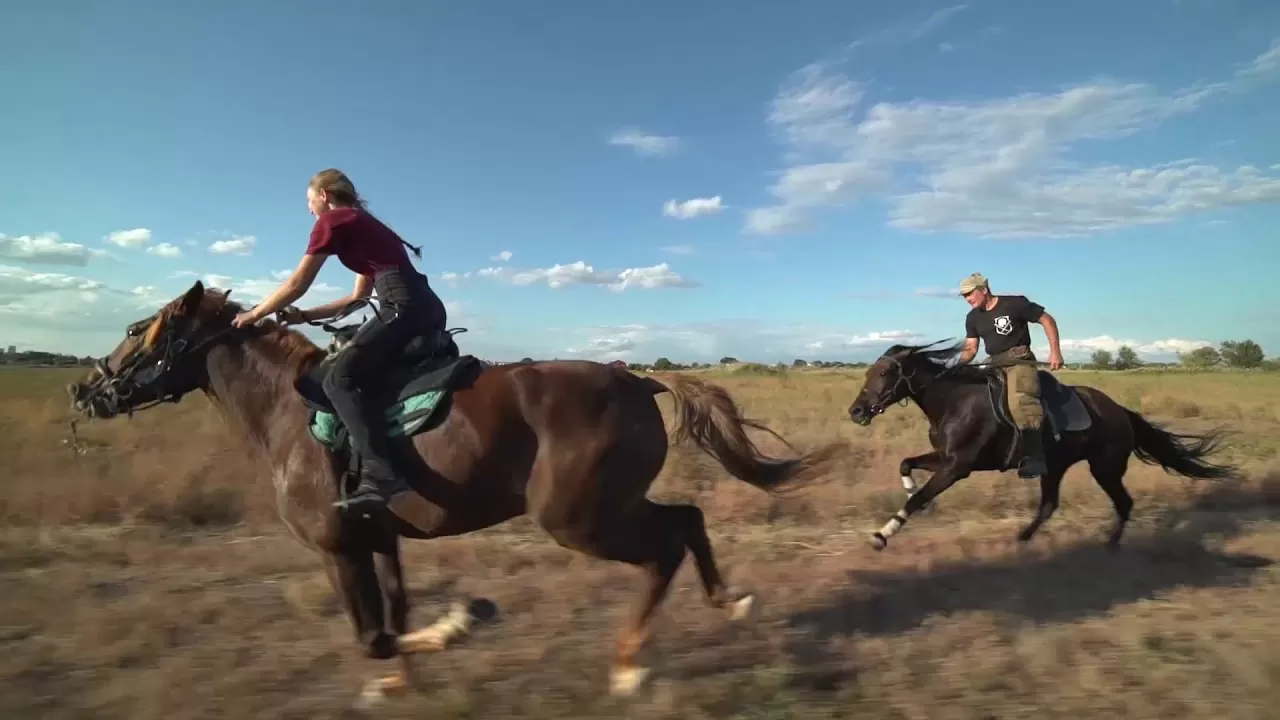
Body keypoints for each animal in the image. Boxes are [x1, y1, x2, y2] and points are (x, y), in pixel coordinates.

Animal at [67, 280, 849, 707]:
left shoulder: (337, 548)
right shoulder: (379, 539)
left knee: (665, 548)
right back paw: (726, 602)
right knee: (686, 520)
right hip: (609, 507)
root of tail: (640, 379)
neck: (288, 411)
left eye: (137, 329)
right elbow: (394, 620)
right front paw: (404, 683)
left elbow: (377, 636)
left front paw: (462, 621)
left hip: (578, 518)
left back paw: (629, 667)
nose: (86, 389)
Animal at [844, 340, 1233, 548]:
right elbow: (906, 465)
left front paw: (882, 534)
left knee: (1123, 503)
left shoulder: (957, 468)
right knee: (1049, 505)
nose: (856, 410)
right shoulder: (943, 458)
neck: (955, 401)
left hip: (1105, 468)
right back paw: (1022, 539)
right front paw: (910, 493)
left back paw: (1110, 545)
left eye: (884, 373)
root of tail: (1120, 410)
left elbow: (919, 498)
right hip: (1056, 467)